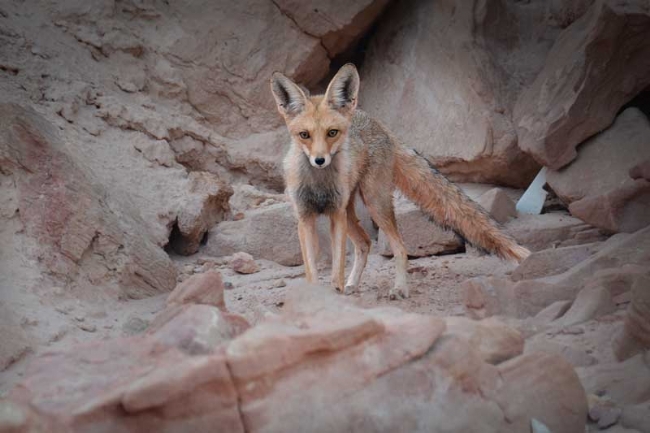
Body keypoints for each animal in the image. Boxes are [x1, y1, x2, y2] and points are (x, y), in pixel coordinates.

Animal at [268, 62, 528, 298]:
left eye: (332, 133)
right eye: (304, 135)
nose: (320, 160)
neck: (319, 183)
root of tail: (381, 125)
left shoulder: (335, 215)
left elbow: (336, 270)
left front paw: (335, 293)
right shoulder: (305, 217)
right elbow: (312, 271)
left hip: (375, 203)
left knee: (400, 248)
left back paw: (399, 288)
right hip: (352, 212)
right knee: (365, 243)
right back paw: (353, 285)